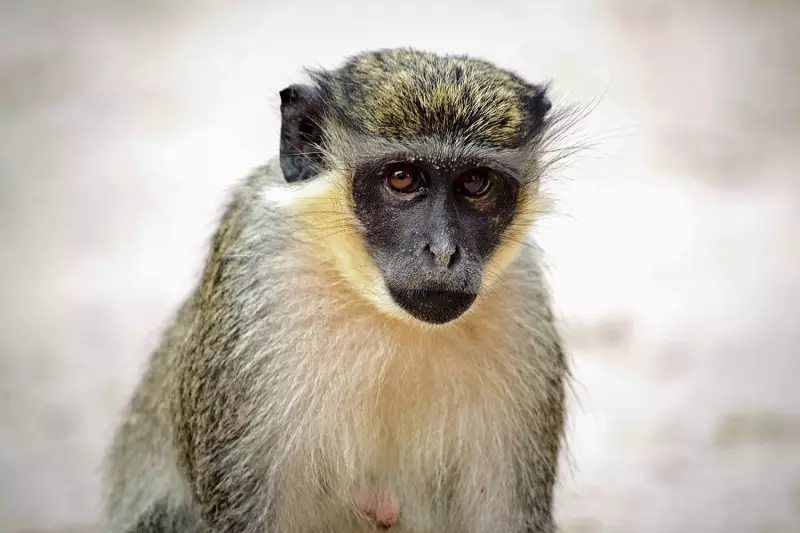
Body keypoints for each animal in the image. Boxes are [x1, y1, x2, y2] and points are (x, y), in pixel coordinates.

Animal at [103, 48, 568, 533]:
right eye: (402, 178)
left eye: (476, 183)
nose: (443, 252)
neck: (380, 311)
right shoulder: (254, 282)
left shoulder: (524, 306)